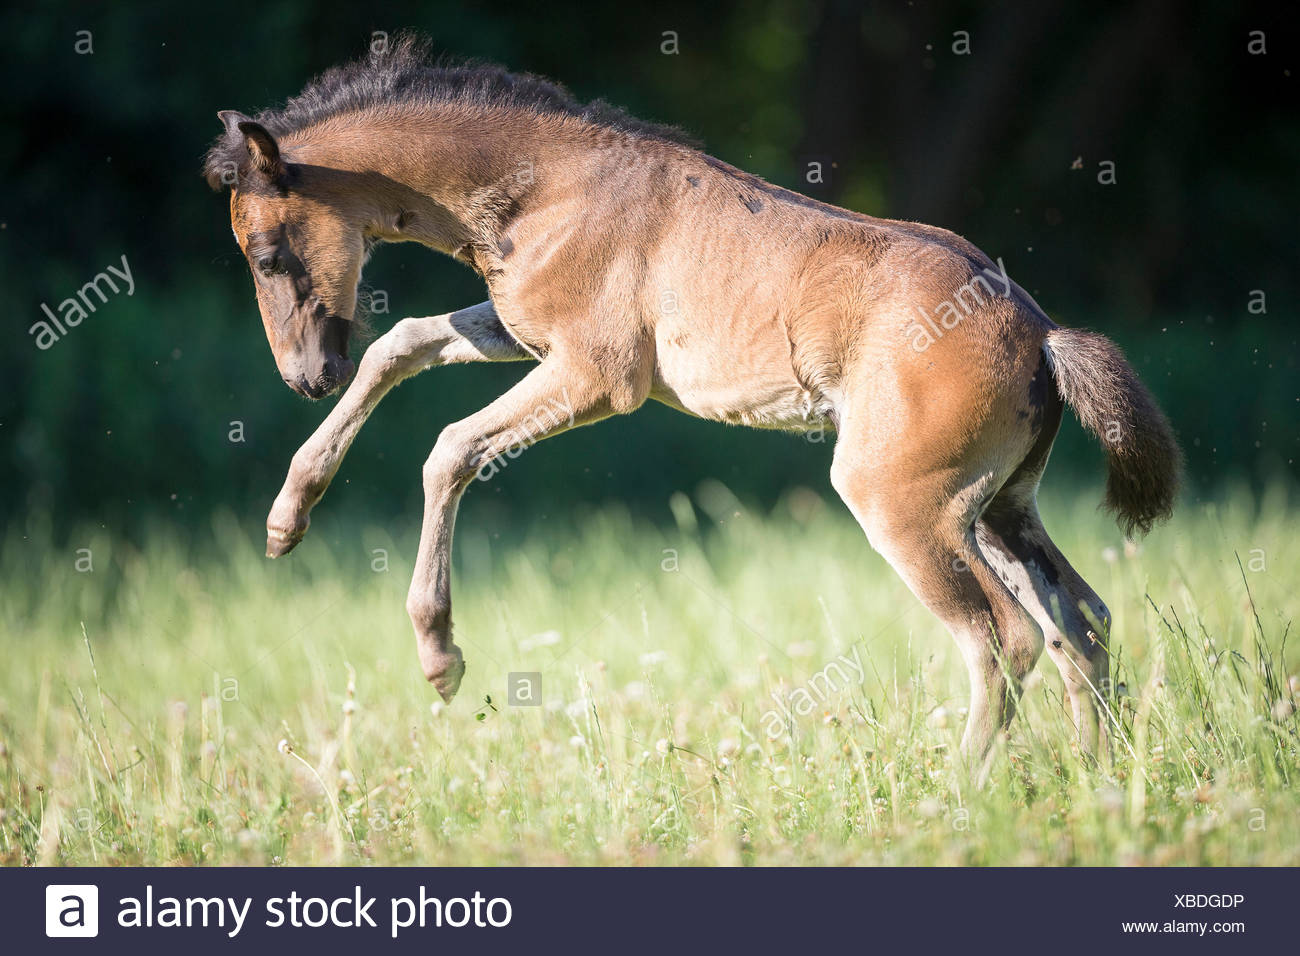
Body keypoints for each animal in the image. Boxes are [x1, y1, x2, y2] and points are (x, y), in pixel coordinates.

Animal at [205, 37, 1180, 776]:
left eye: (267, 253)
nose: (304, 376)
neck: (546, 184)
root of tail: (1042, 331)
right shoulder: (527, 335)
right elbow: (400, 343)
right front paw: (287, 519)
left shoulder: (599, 375)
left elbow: (449, 448)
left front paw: (440, 656)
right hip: (997, 509)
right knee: (1081, 625)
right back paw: (1097, 780)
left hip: (904, 504)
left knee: (1003, 637)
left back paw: (960, 793)